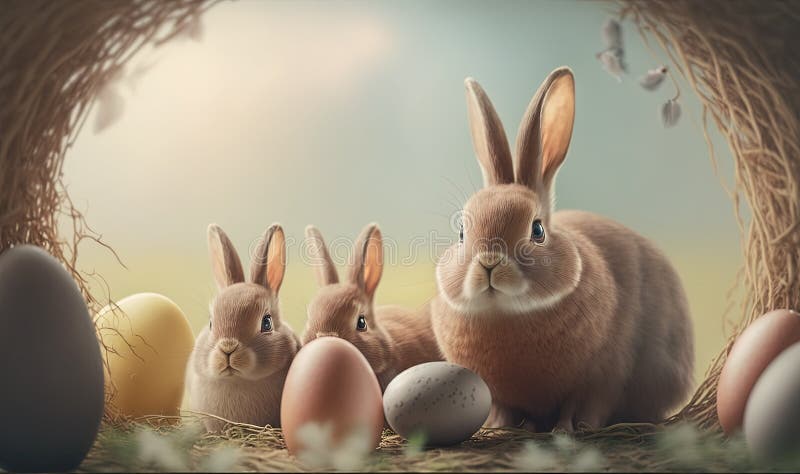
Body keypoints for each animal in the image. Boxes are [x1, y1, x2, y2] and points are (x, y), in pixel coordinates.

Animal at [430, 67, 694, 432]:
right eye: (461, 233)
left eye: (537, 230)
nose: (490, 263)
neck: (506, 315)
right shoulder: (497, 392)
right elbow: (503, 408)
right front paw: (498, 426)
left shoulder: (604, 375)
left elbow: (586, 404)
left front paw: (569, 429)